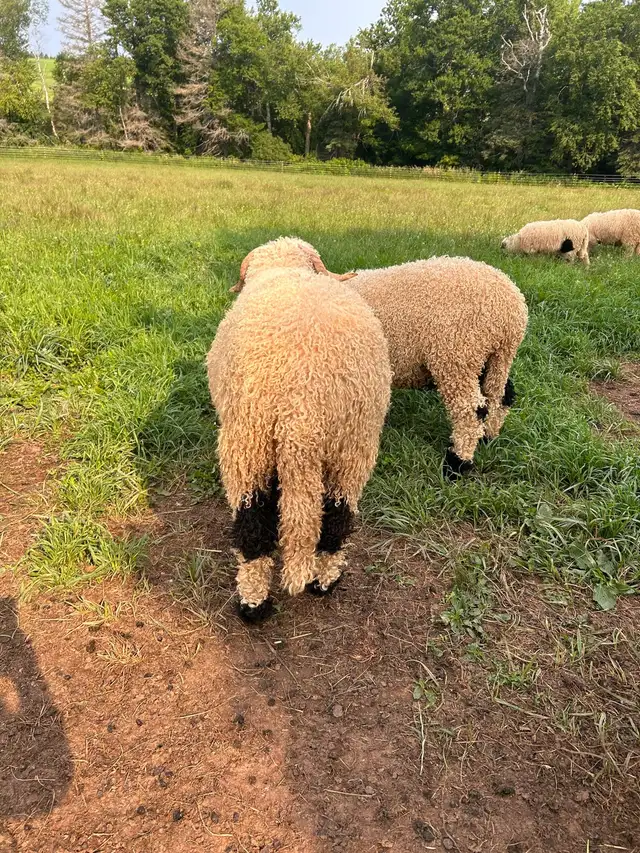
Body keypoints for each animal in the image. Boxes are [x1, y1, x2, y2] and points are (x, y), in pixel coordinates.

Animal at [207, 237, 391, 621]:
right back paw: (324, 581)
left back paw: (253, 604)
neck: (284, 267)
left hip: (248, 443)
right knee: (337, 517)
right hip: (354, 444)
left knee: (251, 527)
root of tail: (303, 403)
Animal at [348, 257, 528, 478]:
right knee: (502, 395)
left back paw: (456, 464)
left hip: (457, 355)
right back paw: (487, 437)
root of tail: (511, 309)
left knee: (470, 411)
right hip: (495, 360)